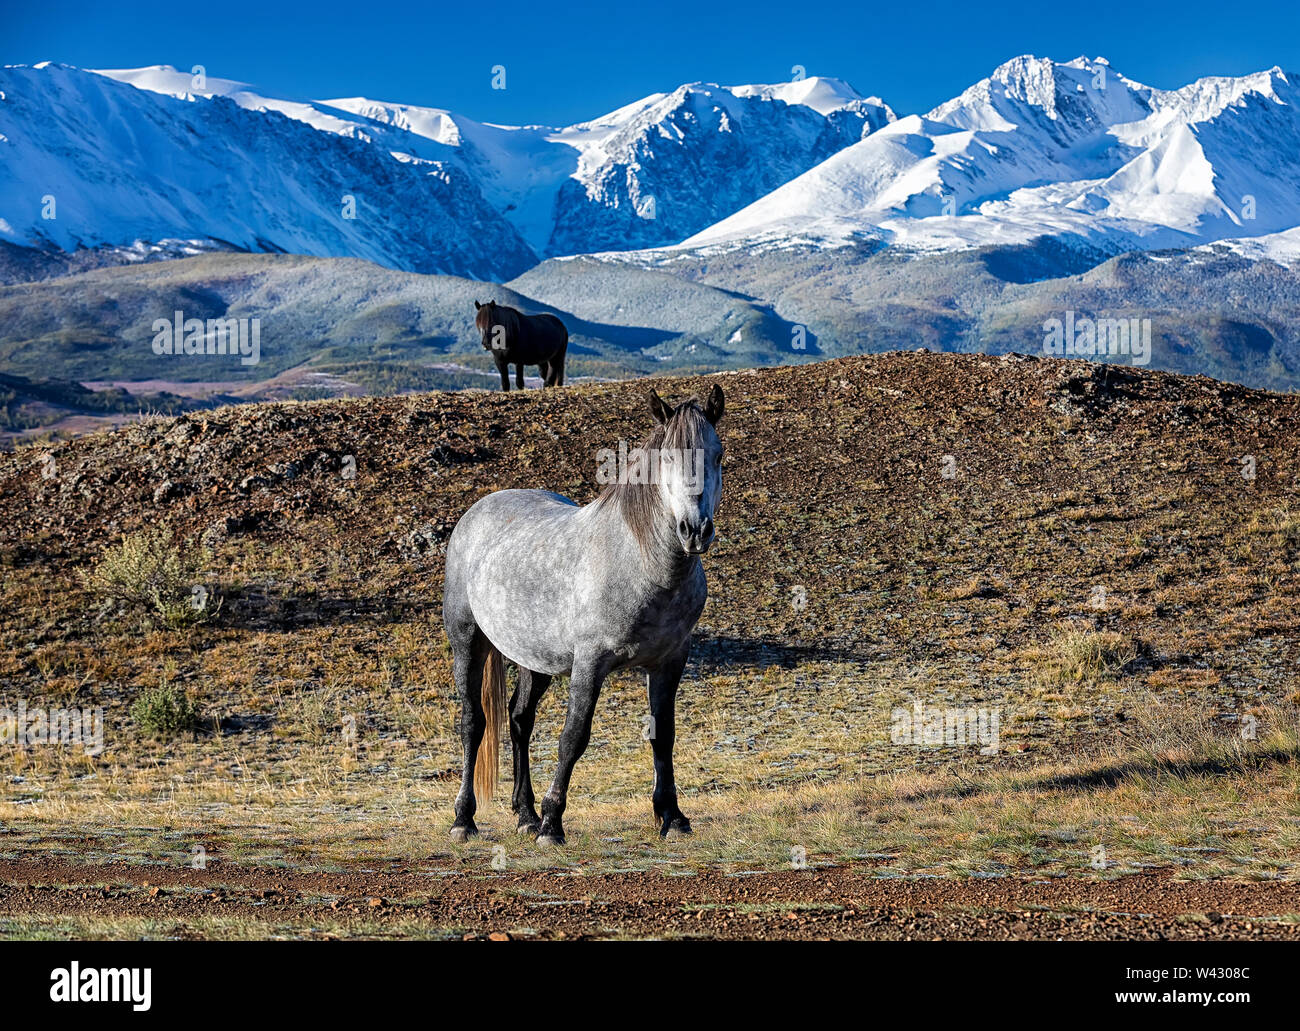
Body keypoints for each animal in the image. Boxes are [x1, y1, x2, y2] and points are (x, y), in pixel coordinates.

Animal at [441, 384, 726, 845]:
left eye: (717, 455)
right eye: (667, 457)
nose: (695, 530)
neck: (638, 561)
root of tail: (477, 511)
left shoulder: (670, 661)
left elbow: (663, 735)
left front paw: (672, 816)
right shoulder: (590, 662)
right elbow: (573, 737)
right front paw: (553, 824)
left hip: (534, 659)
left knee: (519, 721)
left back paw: (524, 815)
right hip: (468, 642)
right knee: (474, 723)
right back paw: (465, 819)